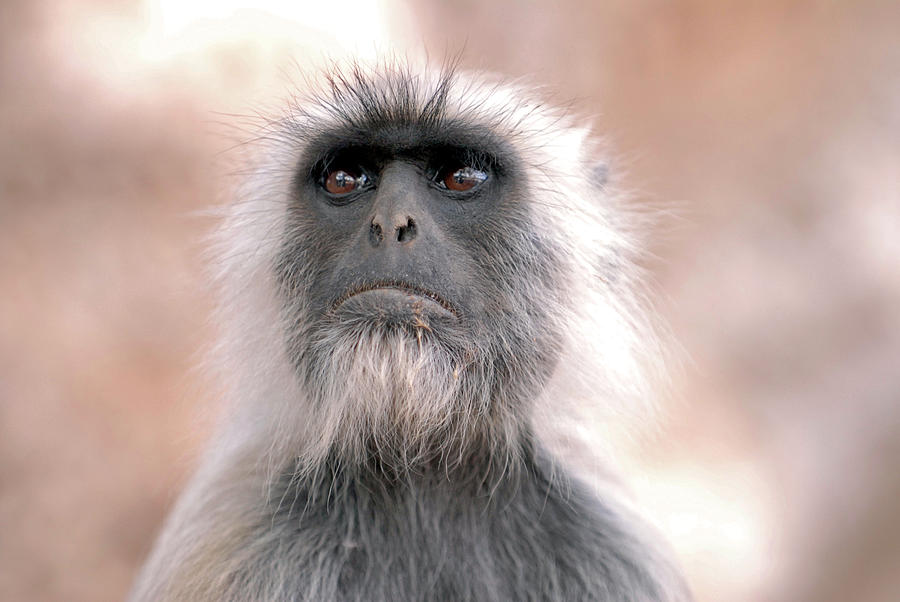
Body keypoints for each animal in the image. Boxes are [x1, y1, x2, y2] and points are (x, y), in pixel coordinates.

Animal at [130, 60, 692, 602]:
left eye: (461, 177)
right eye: (344, 179)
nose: (390, 224)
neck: (422, 472)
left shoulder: (615, 550)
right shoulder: (231, 541)